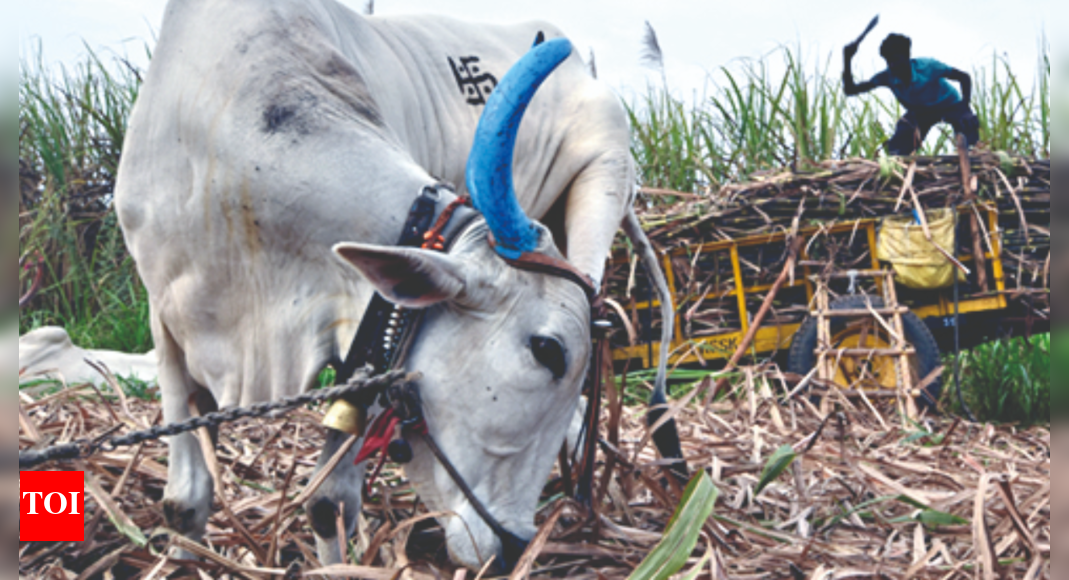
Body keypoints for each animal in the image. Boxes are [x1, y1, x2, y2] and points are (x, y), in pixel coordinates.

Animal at [114, 0, 681, 571]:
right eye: (547, 350)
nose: (513, 547)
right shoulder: (167, 321)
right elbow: (185, 503)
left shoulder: (371, 335)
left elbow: (328, 504)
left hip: (603, 177)